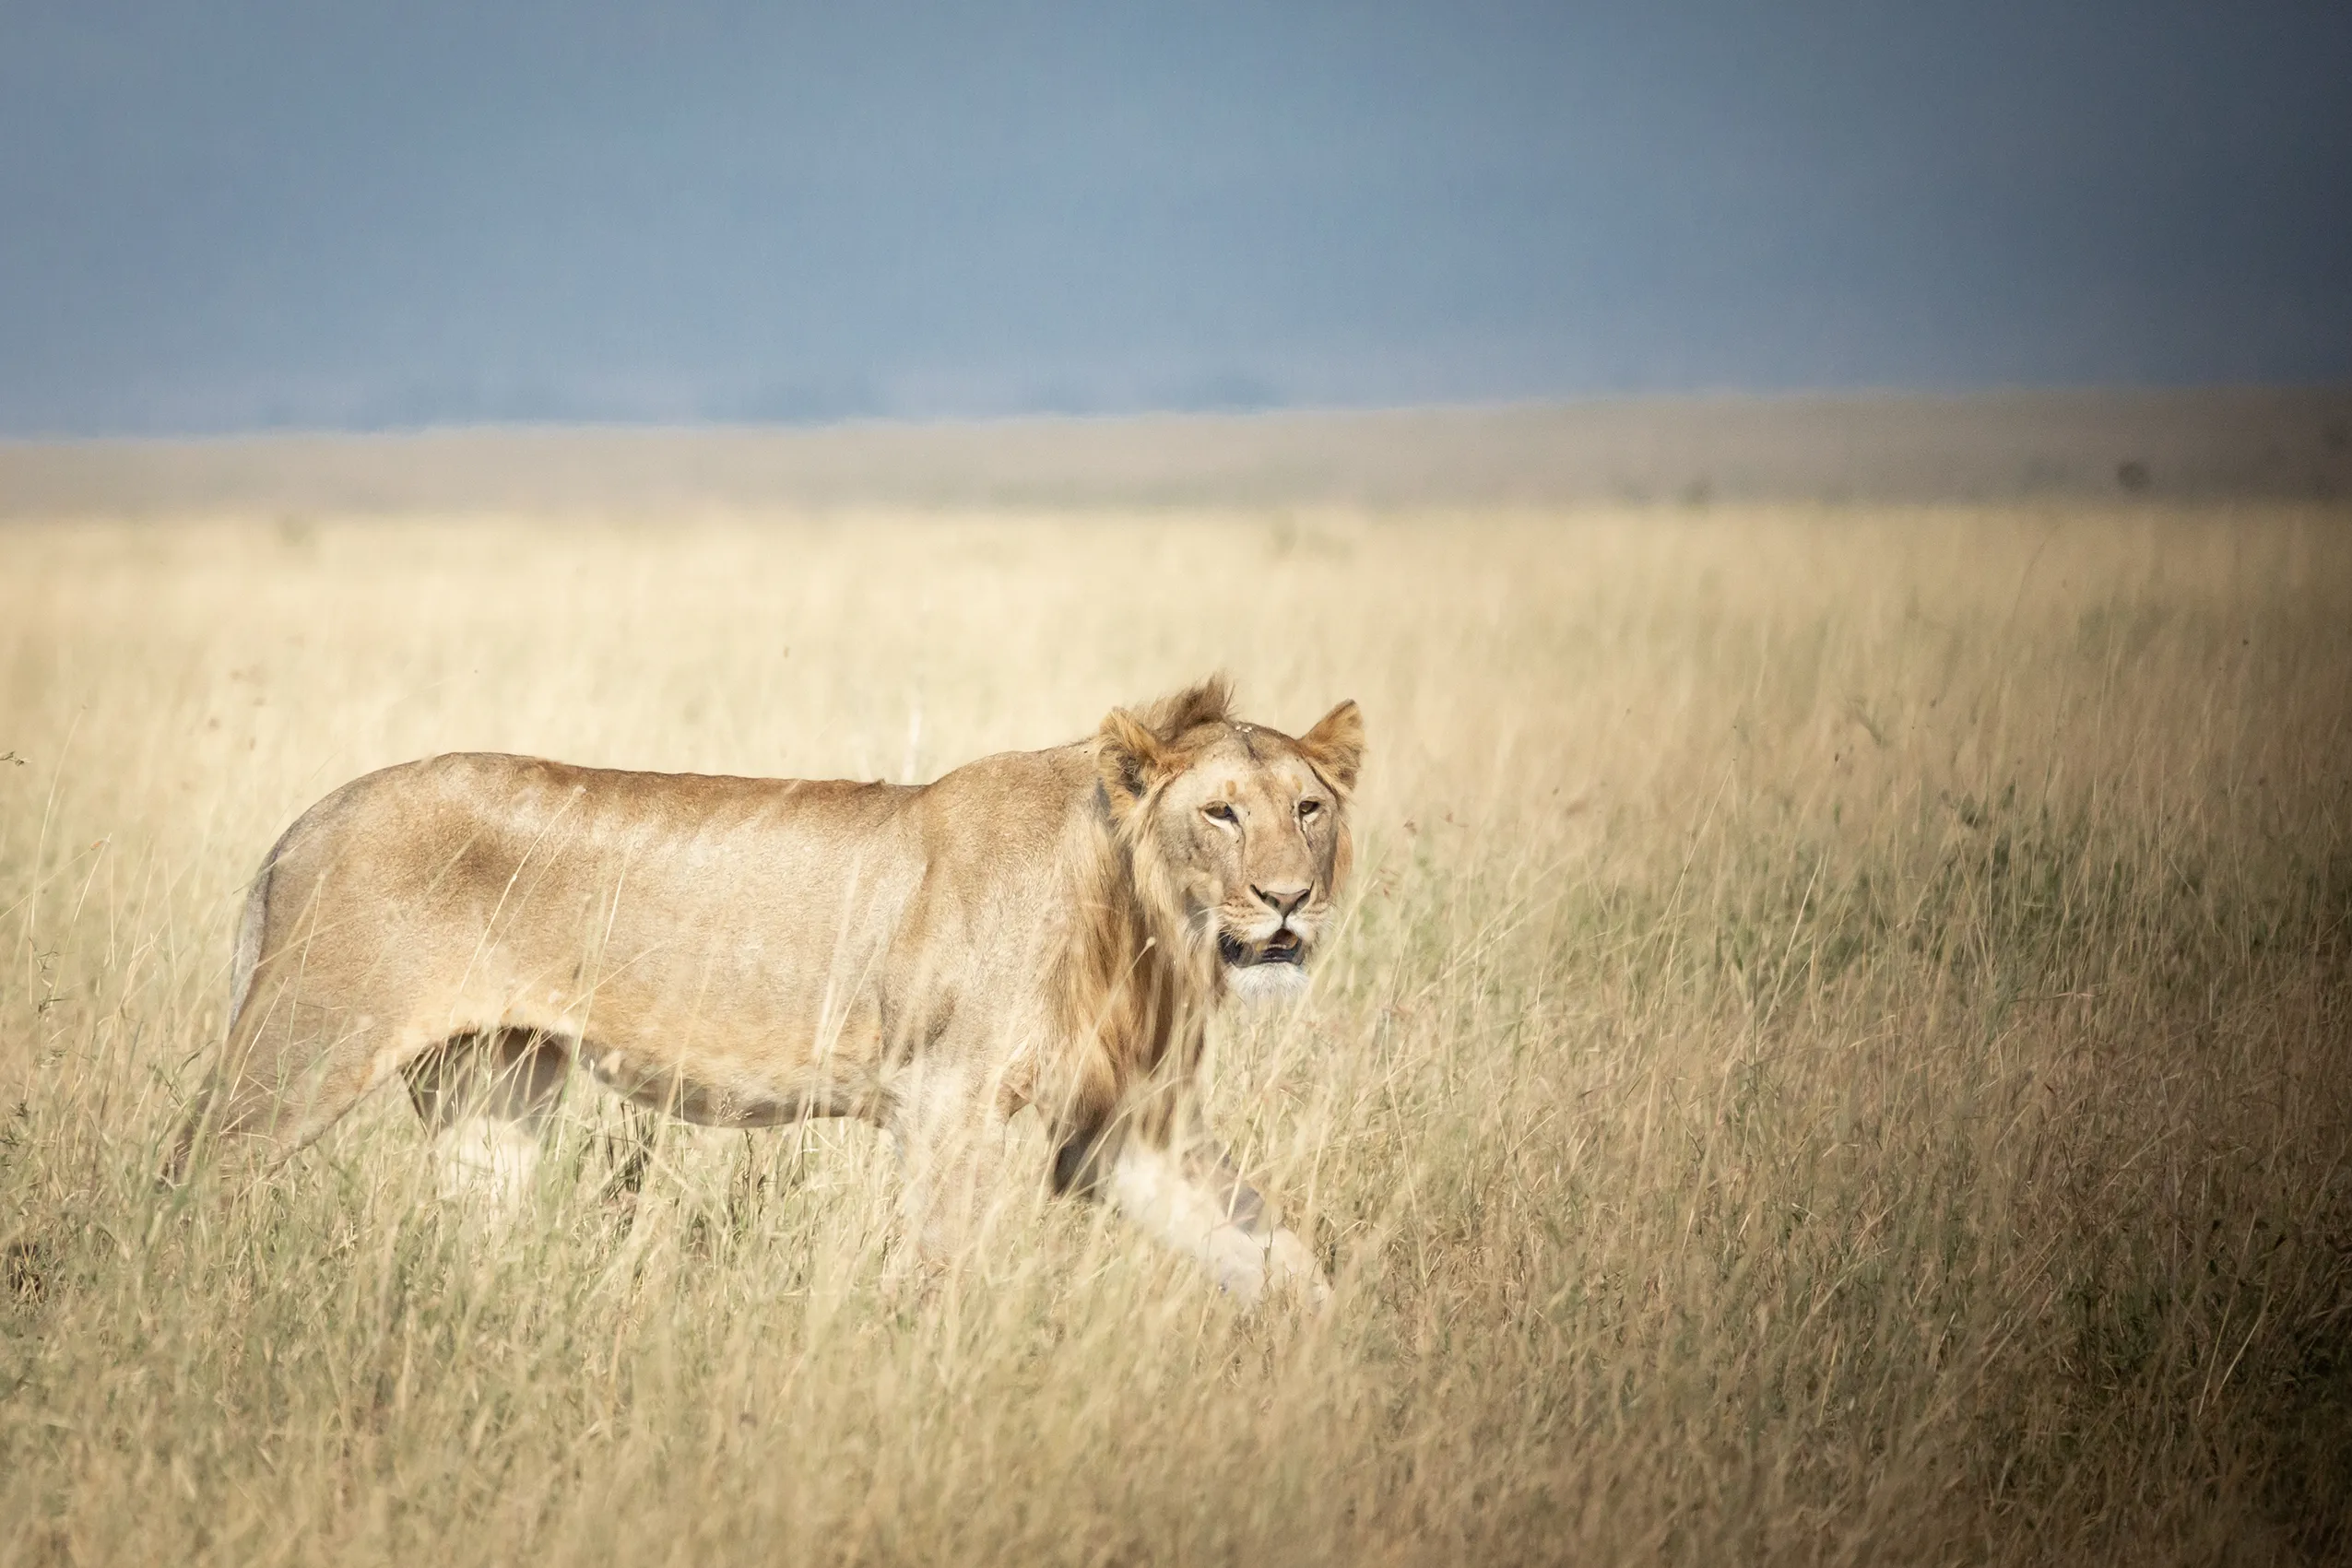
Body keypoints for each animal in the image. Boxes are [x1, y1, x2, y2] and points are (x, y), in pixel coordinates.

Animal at [167, 677, 1361, 1303]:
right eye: (1218, 812)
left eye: (1307, 808)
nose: (1288, 901)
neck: (1143, 922)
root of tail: (309, 817)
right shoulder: (948, 1102)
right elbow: (940, 1268)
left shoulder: (1124, 1133)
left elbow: (1276, 1252)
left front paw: (1336, 1377)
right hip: (306, 1047)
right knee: (192, 1174)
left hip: (492, 1085)